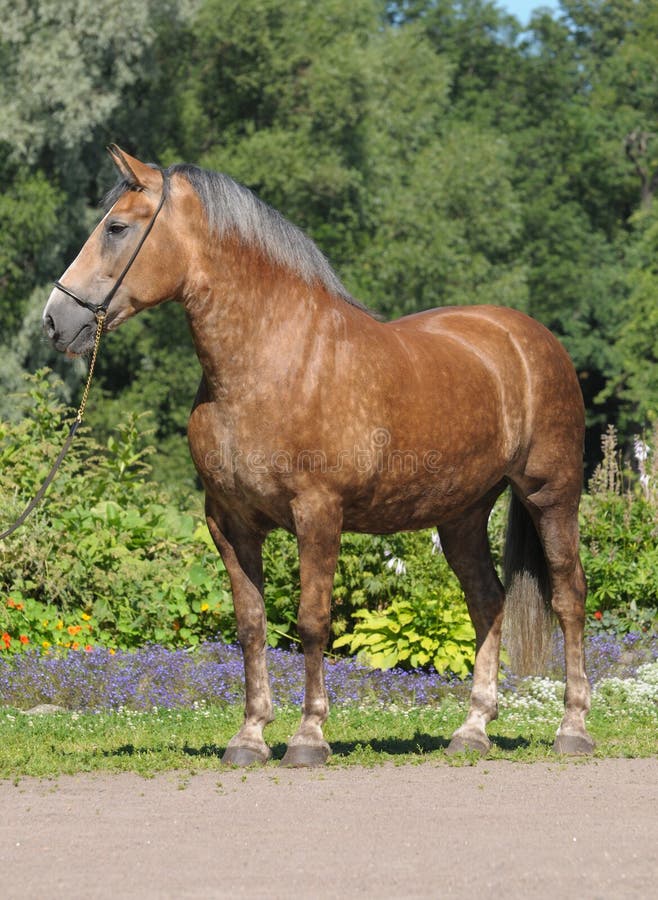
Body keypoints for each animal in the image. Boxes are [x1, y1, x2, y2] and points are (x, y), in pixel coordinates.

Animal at [43, 145, 594, 765]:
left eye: (116, 228)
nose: (55, 320)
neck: (271, 358)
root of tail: (531, 338)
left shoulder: (318, 513)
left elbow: (312, 620)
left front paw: (309, 736)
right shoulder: (229, 521)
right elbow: (251, 624)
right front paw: (250, 736)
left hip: (551, 495)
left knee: (569, 597)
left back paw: (573, 727)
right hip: (462, 516)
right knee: (487, 601)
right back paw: (472, 729)